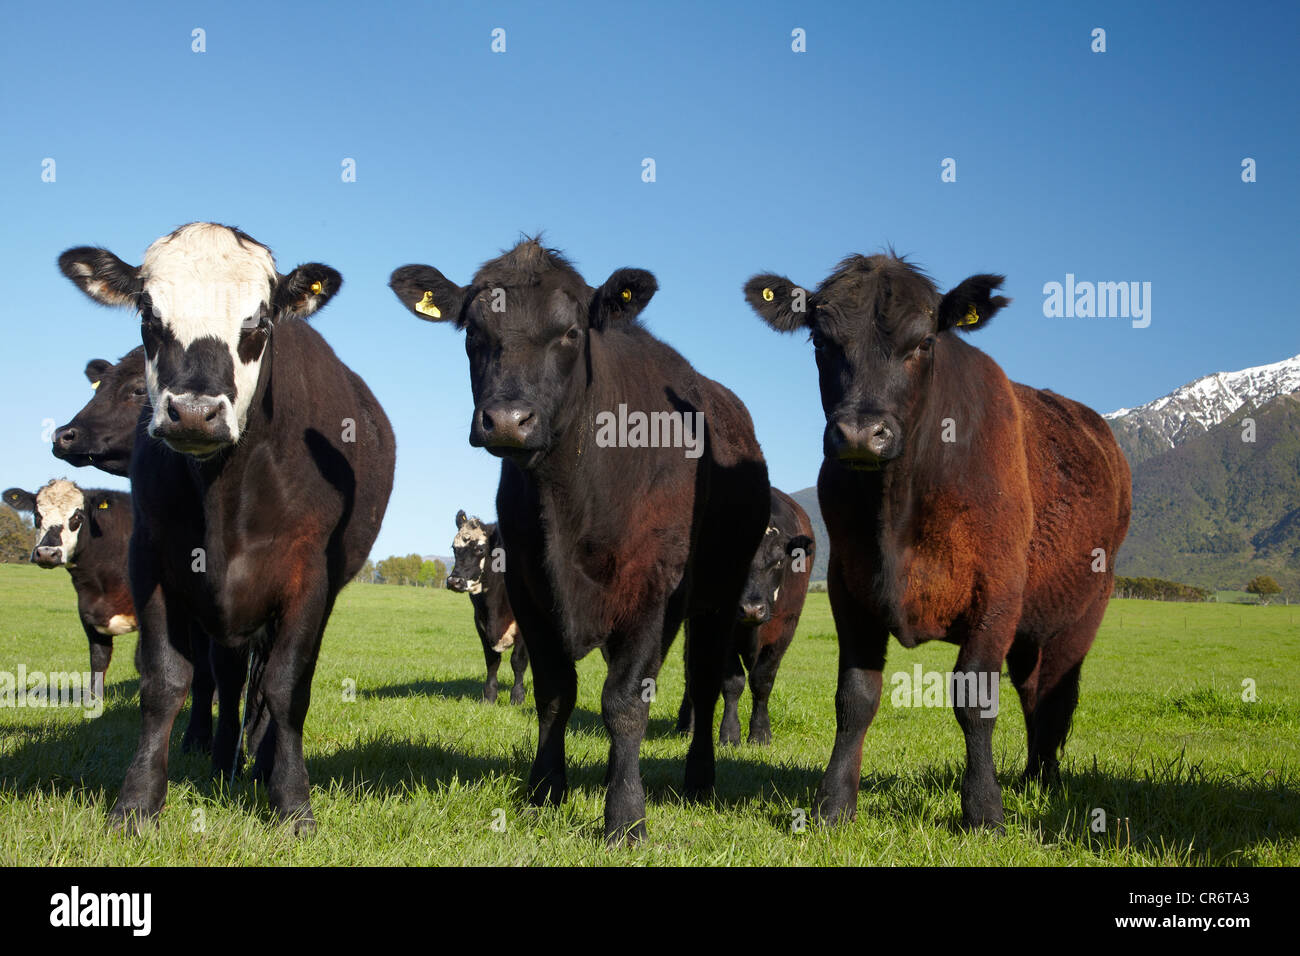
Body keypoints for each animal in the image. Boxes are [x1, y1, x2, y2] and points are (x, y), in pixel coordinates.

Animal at [446, 510, 529, 704]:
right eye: (454, 548)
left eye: (480, 549)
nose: (454, 581)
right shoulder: (480, 623)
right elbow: (492, 661)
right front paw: (489, 697)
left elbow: (518, 661)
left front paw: (517, 697)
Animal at [675, 488, 814, 745]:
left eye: (779, 561)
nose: (751, 609)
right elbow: (734, 682)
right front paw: (730, 734)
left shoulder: (784, 630)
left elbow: (762, 680)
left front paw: (760, 733)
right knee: (691, 672)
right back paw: (687, 725)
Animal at [745, 253, 1131, 830]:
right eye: (821, 340)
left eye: (924, 341)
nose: (860, 434)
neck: (899, 504)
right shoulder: (847, 588)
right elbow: (855, 697)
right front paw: (833, 803)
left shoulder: (998, 595)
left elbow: (974, 699)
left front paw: (984, 810)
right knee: (1033, 689)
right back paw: (1031, 775)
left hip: (1083, 611)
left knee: (1054, 695)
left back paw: (1044, 780)